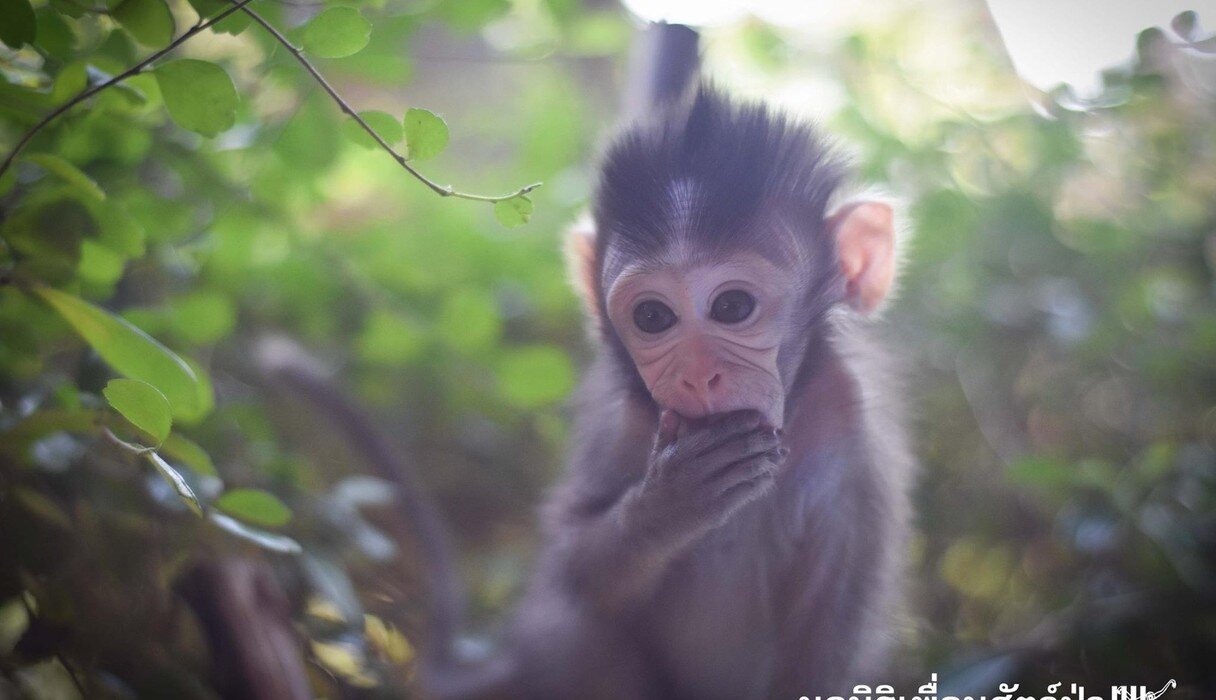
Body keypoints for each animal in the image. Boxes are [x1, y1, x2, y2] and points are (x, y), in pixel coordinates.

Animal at [406, 82, 915, 700]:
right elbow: (577, 565)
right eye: (653, 317)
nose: (697, 375)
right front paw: (671, 503)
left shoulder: (845, 418)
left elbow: (826, 640)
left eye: (732, 307)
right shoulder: (622, 418)